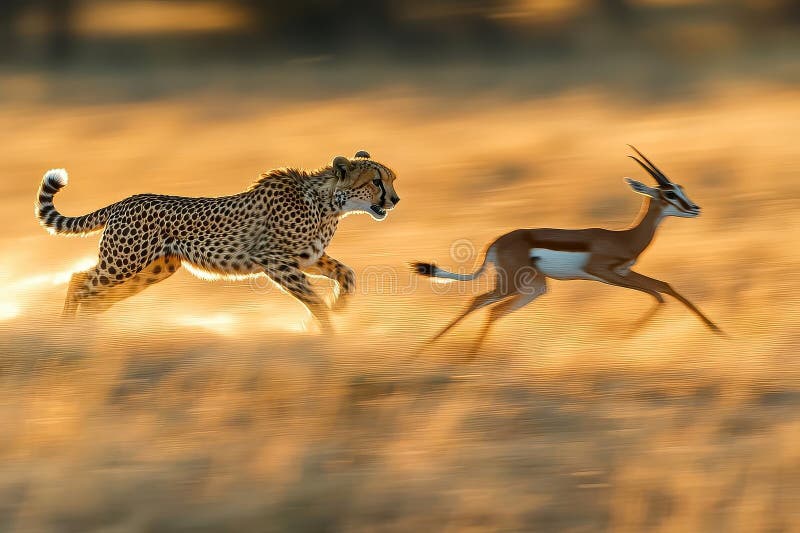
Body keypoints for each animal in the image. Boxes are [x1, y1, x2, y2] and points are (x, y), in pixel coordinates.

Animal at [35, 150, 399, 330]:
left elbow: (347, 274)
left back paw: (87, 333)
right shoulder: (275, 261)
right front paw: (325, 329)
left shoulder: (307, 259)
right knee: (79, 280)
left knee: (96, 296)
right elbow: (313, 300)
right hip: (124, 263)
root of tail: (124, 201)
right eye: (376, 181)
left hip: (153, 269)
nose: (395, 200)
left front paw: (340, 307)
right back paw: (65, 334)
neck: (327, 204)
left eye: (392, 179)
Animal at [412, 147, 723, 351]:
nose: (695, 208)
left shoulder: (623, 272)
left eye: (680, 187)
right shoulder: (604, 273)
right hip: (511, 283)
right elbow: (656, 294)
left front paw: (718, 331)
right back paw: (442, 355)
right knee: (479, 302)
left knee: (493, 309)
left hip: (534, 287)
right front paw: (623, 338)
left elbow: (664, 286)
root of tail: (496, 243)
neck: (625, 238)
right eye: (669, 193)